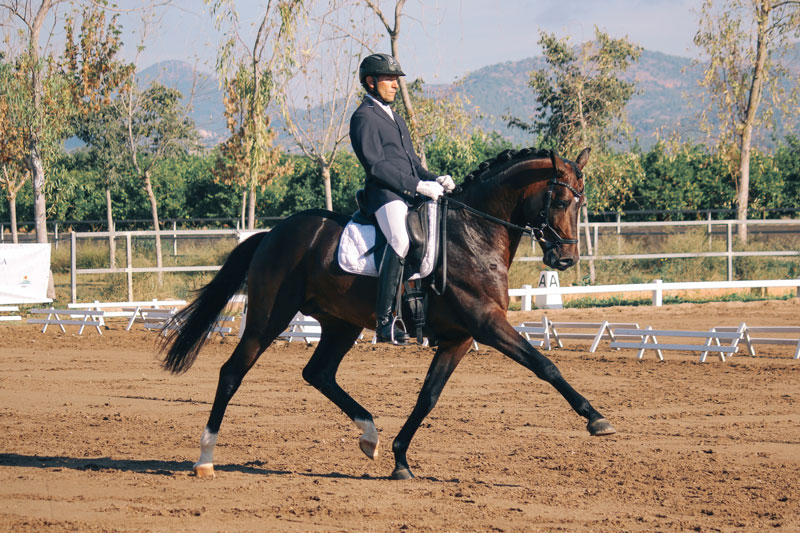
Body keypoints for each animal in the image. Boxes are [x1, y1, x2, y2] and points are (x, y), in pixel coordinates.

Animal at [161, 147, 616, 480]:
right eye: (560, 199)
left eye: (580, 203)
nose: (565, 259)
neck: (473, 234)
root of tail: (272, 234)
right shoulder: (487, 324)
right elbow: (544, 364)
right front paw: (596, 419)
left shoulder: (460, 337)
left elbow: (428, 396)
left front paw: (400, 460)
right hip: (268, 319)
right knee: (232, 373)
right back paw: (205, 459)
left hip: (340, 325)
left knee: (318, 373)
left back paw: (370, 435)